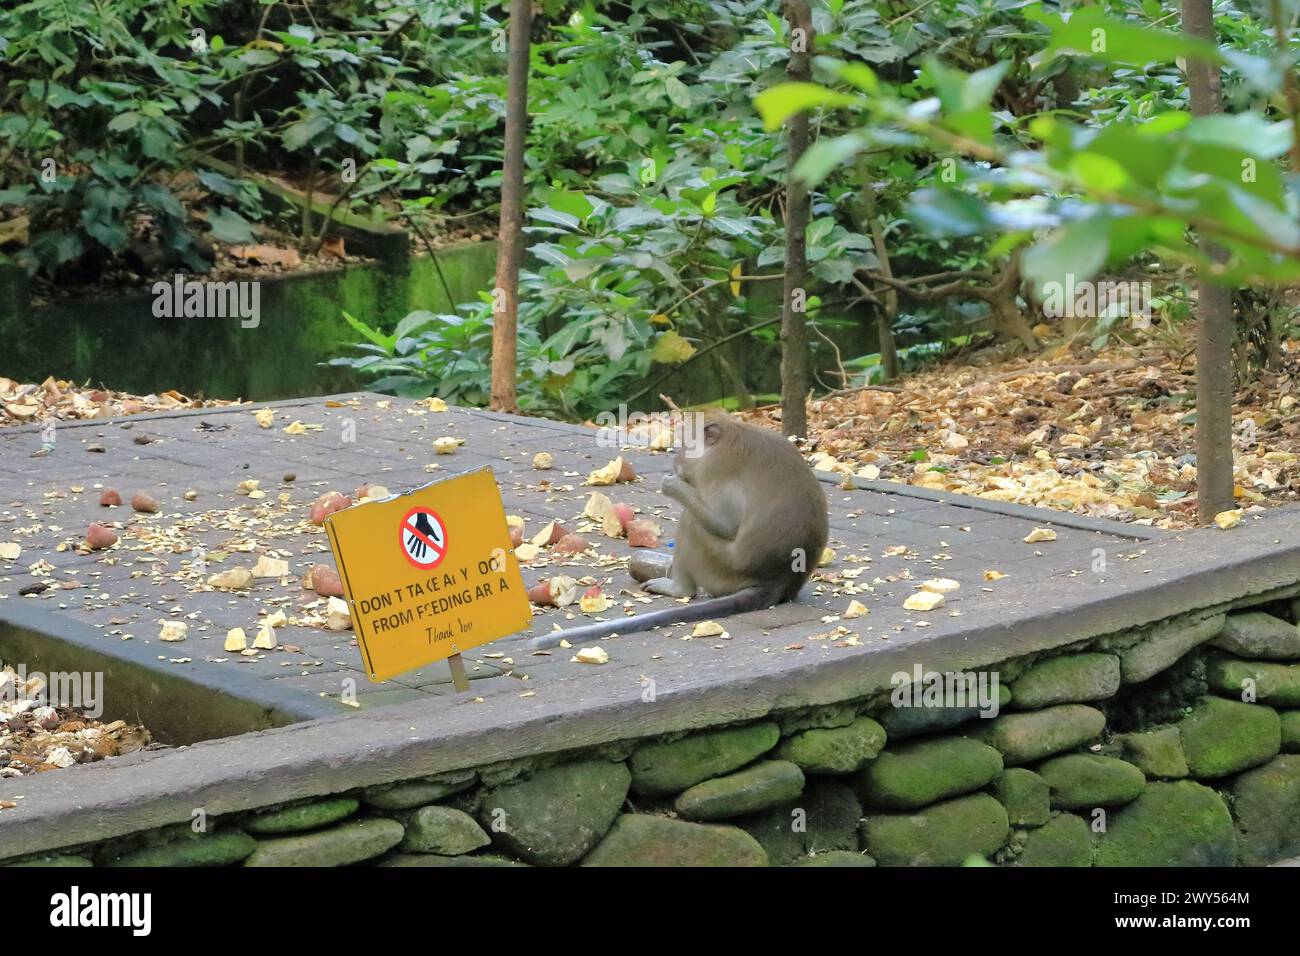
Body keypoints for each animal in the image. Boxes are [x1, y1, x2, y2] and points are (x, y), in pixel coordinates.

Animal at [520, 410, 829, 652]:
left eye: (684, 445)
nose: (675, 461)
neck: (732, 433)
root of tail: (778, 579)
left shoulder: (714, 470)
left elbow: (724, 524)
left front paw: (672, 484)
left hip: (720, 569)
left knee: (691, 523)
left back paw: (678, 586)